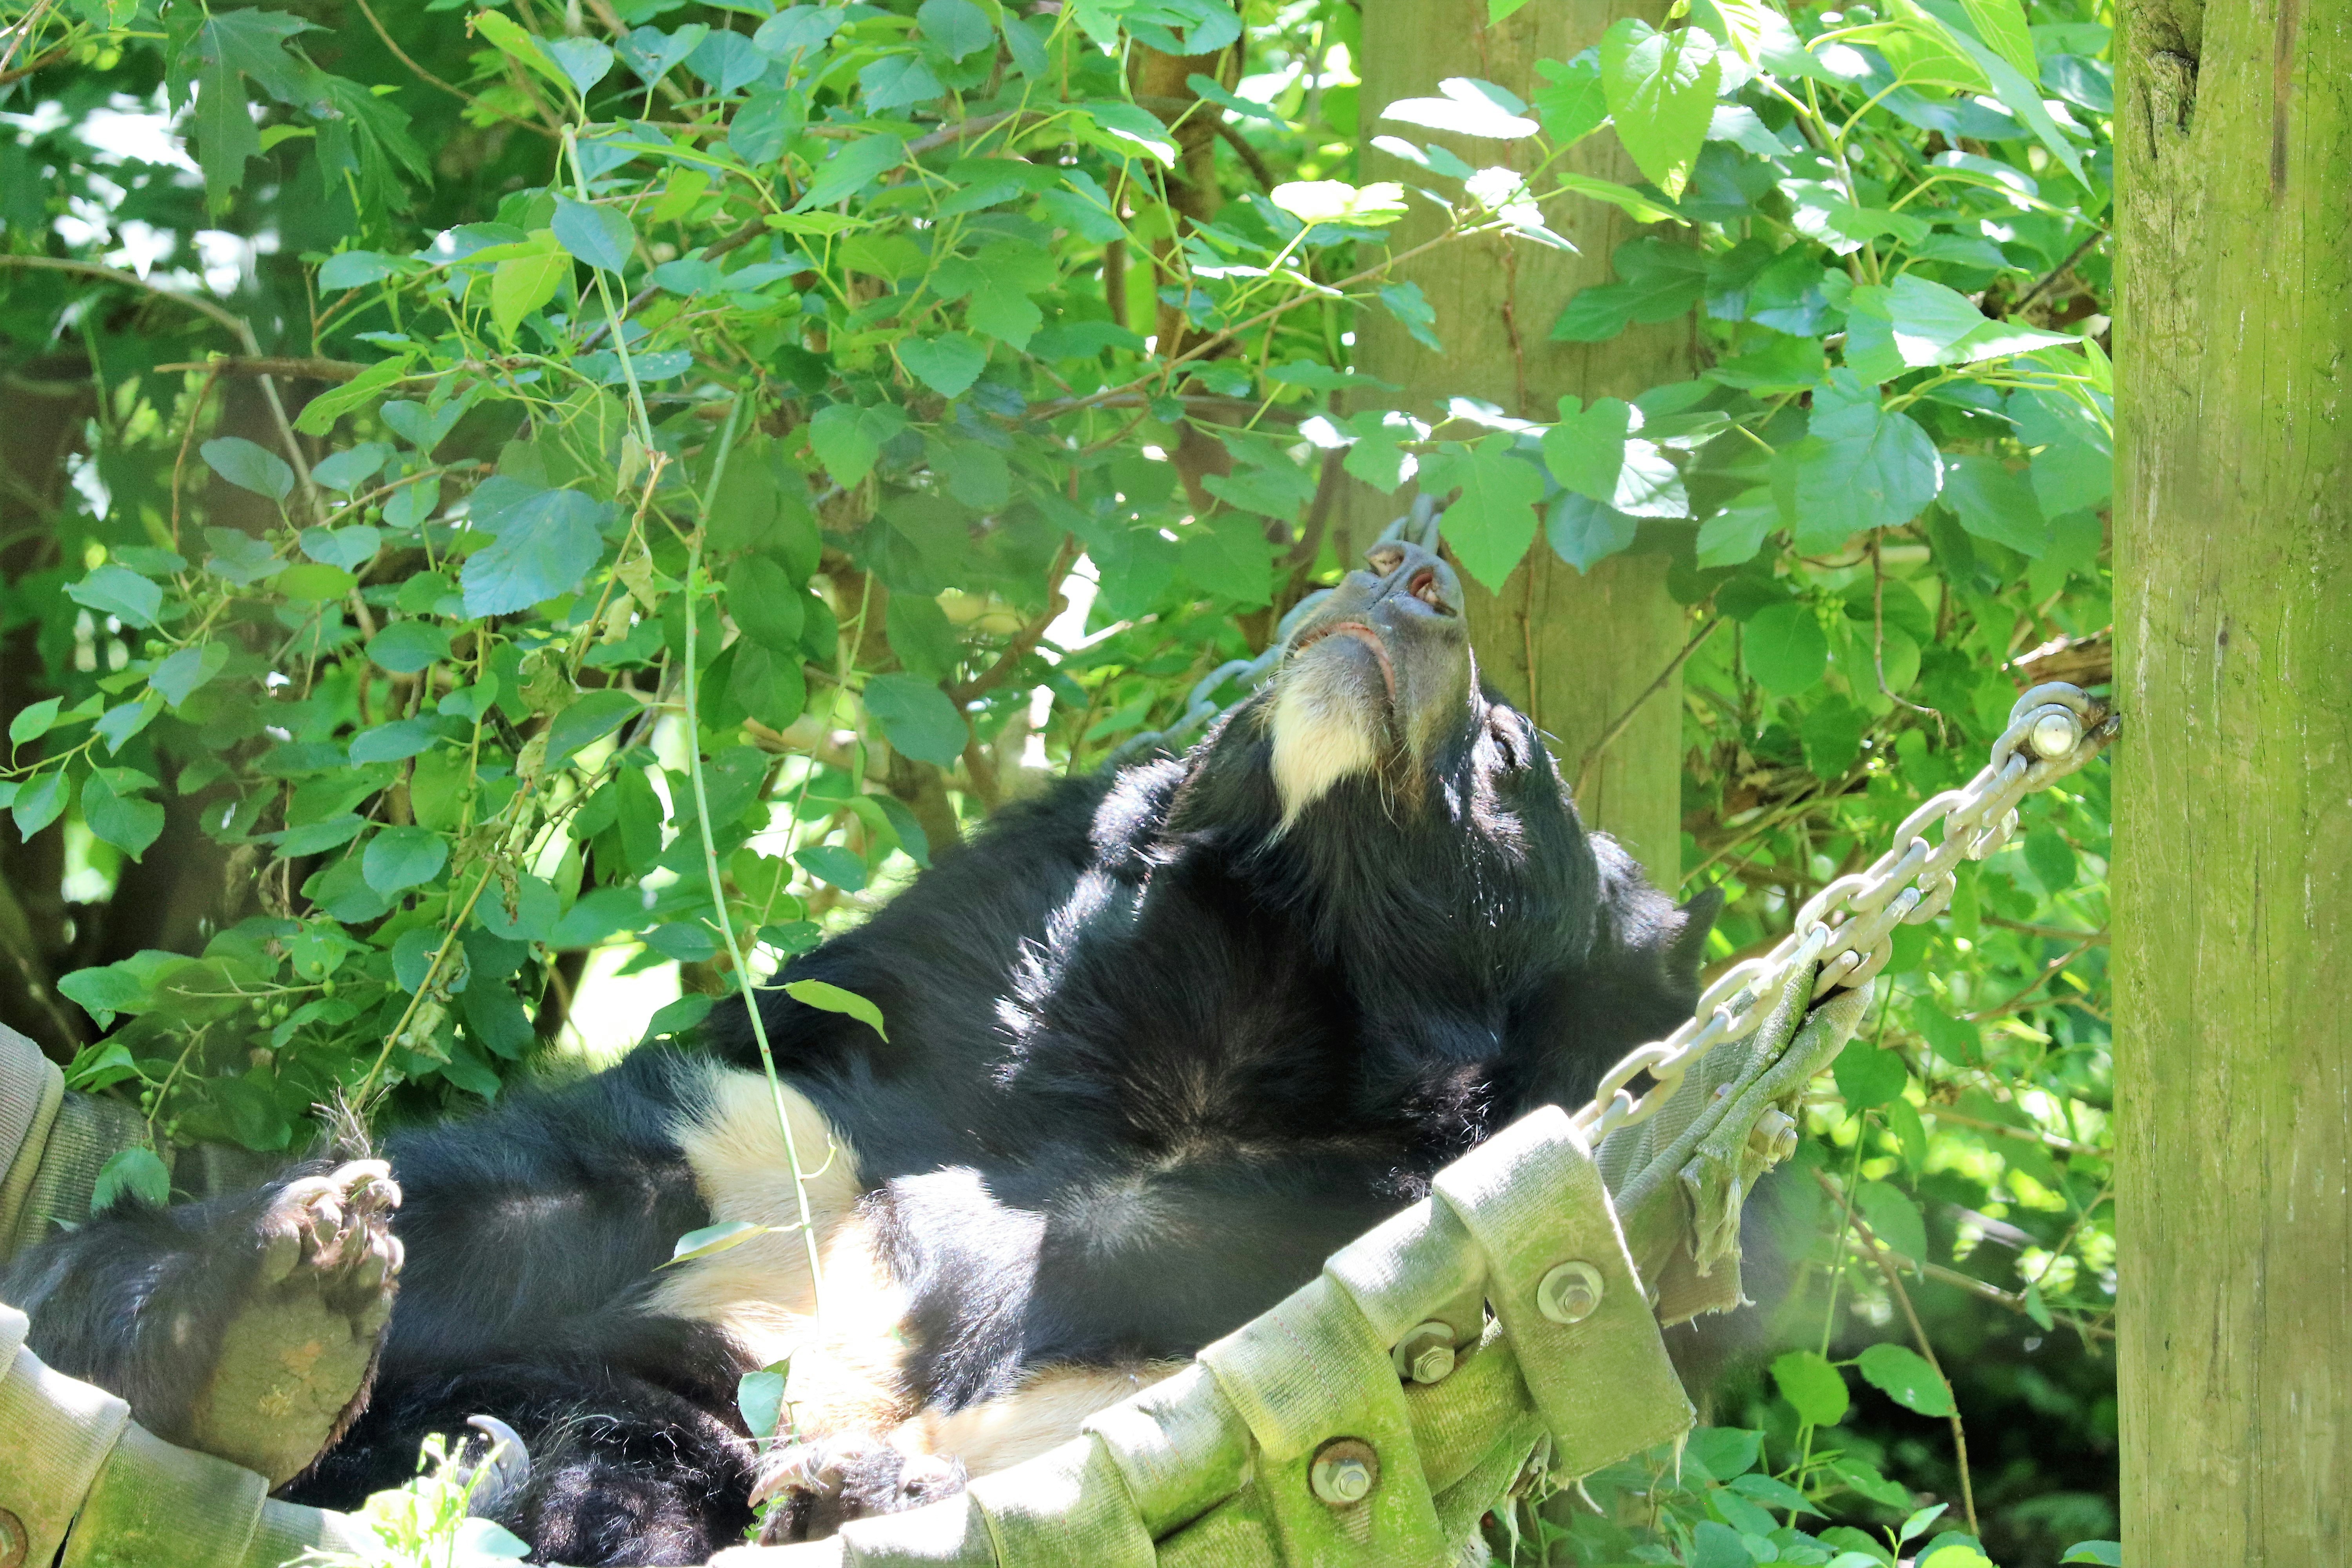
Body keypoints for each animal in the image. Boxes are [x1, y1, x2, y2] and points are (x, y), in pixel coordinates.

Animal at [0, 539, 1715, 1565]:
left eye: (1511, 758)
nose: (1408, 566)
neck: (1254, 1011)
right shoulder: (823, 1102)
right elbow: (530, 1196)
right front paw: (257, 1299)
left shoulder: (1333, 1236)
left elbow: (1138, 1385)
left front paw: (859, 1479)